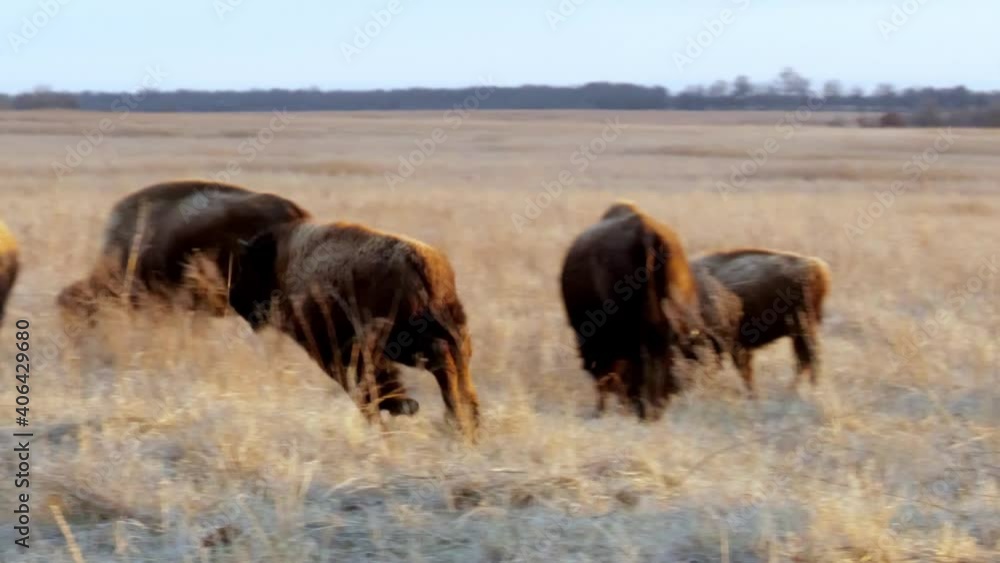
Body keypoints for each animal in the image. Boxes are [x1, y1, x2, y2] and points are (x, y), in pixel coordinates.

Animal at [226, 220, 480, 438]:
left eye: (246, 268)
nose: (234, 297)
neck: (281, 262)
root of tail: (419, 261)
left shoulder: (332, 350)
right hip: (451, 332)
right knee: (458, 366)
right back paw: (470, 423)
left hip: (409, 340)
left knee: (443, 362)